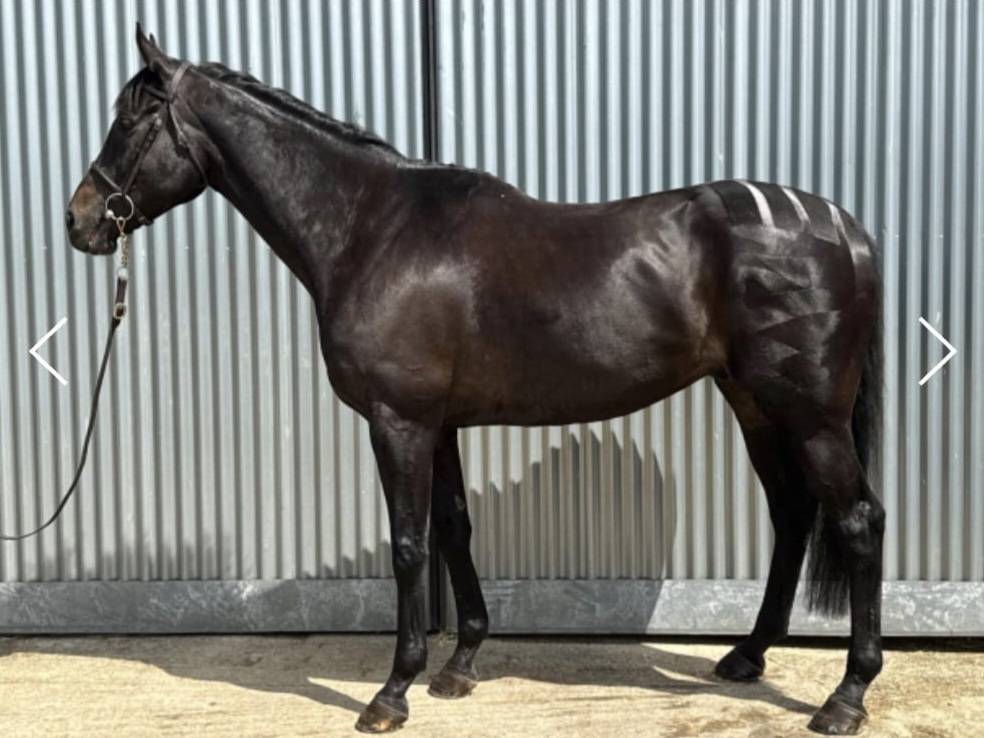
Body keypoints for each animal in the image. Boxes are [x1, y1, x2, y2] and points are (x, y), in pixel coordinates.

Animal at [66, 26, 884, 736]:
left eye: (131, 120)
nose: (79, 220)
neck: (372, 230)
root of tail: (844, 228)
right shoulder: (441, 424)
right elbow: (454, 529)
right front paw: (458, 666)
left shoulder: (397, 421)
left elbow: (408, 546)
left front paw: (392, 692)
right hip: (754, 403)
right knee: (791, 514)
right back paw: (748, 655)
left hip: (809, 415)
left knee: (858, 522)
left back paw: (845, 696)